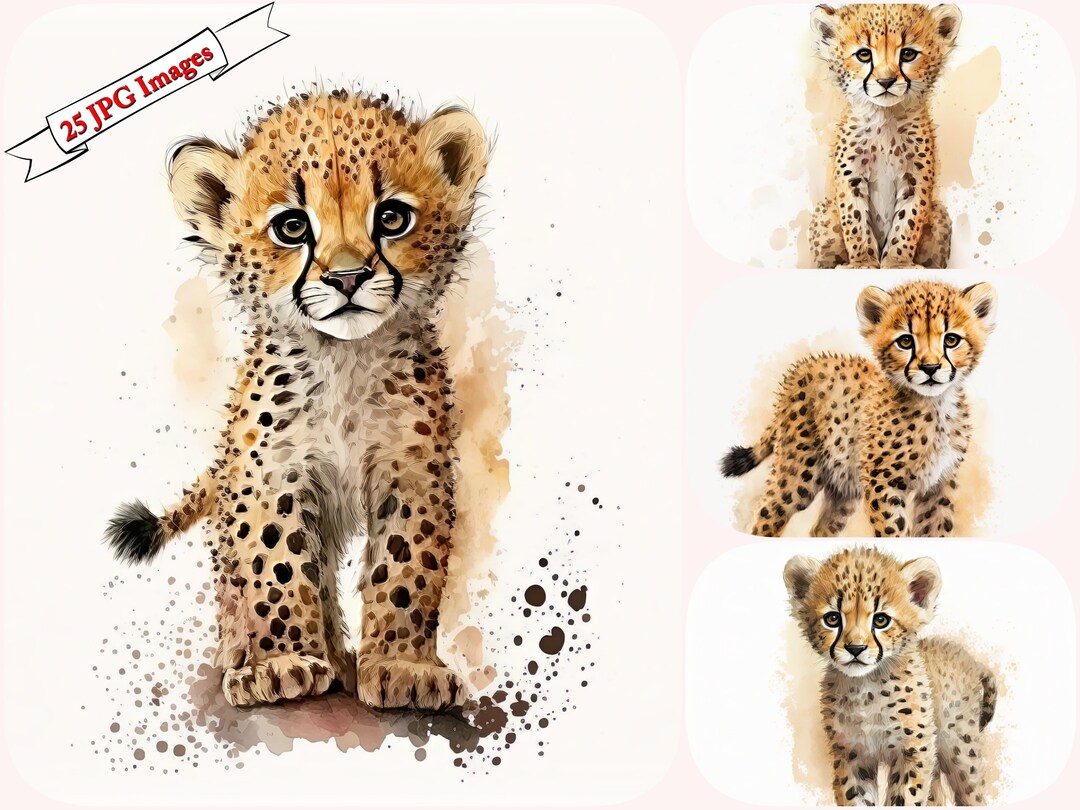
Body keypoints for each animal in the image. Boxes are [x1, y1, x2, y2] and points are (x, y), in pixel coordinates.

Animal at [104, 85, 490, 712]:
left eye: (392, 217)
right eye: (291, 226)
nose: (348, 278)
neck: (344, 358)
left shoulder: (412, 471)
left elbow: (407, 566)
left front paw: (403, 666)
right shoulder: (271, 475)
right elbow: (276, 564)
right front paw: (282, 662)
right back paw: (253, 653)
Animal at [721, 279, 996, 538]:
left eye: (951, 339)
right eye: (906, 341)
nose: (930, 368)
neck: (936, 405)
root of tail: (804, 365)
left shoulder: (938, 485)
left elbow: (936, 529)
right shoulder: (882, 482)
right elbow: (894, 529)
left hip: (844, 483)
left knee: (821, 528)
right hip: (799, 471)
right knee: (768, 510)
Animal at [784, 547, 997, 805]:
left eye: (881, 620)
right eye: (832, 618)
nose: (855, 648)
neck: (865, 687)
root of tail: (967, 657)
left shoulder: (914, 751)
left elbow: (906, 798)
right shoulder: (852, 755)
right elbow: (855, 797)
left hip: (960, 747)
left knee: (972, 791)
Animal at [807, 4, 963, 269]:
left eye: (908, 54)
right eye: (863, 55)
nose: (886, 81)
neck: (884, 117)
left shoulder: (915, 178)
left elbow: (908, 221)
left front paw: (897, 262)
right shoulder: (852, 177)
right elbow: (855, 220)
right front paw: (862, 261)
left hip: (939, 216)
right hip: (824, 213)